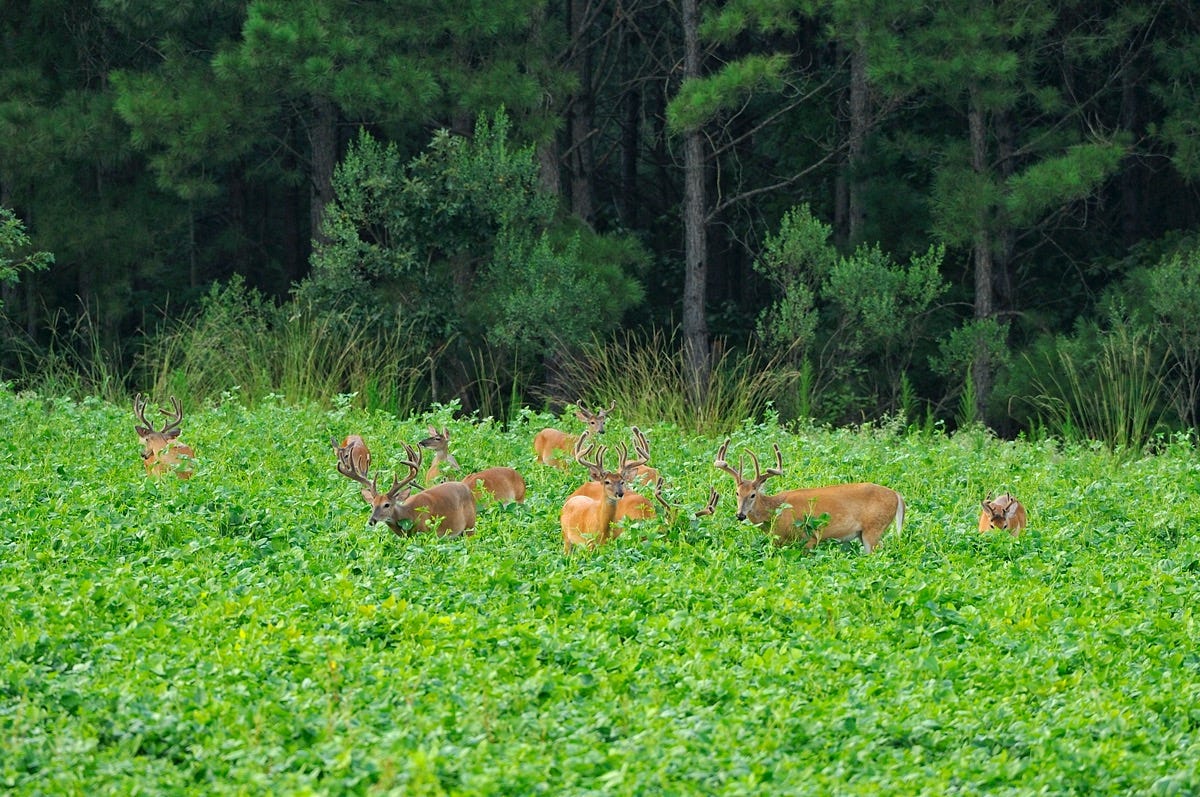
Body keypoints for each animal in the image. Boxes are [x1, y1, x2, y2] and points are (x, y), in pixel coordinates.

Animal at [336, 440, 476, 538]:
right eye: (372, 504)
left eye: (387, 504)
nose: (372, 521)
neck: (409, 514)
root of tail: (465, 486)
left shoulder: (428, 534)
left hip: (470, 526)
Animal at [713, 438, 904, 554]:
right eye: (737, 493)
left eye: (753, 495)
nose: (740, 515)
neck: (776, 511)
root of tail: (897, 495)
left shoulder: (810, 538)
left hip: (874, 528)